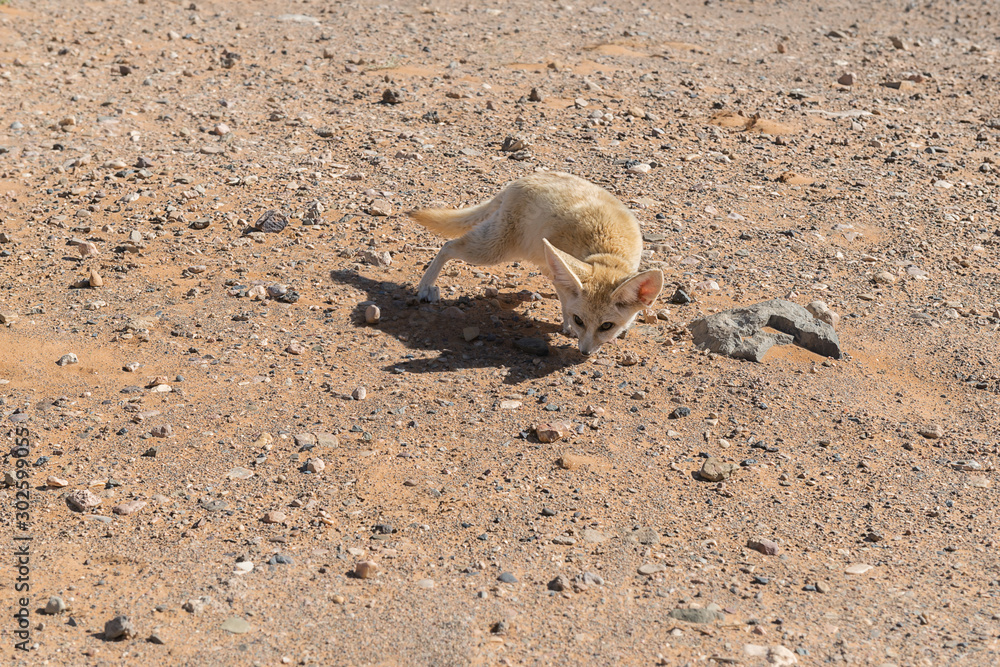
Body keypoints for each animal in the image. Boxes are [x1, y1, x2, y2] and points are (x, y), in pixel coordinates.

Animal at [407, 172, 663, 356]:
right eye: (580, 320)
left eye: (607, 326)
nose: (584, 353)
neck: (608, 253)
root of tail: (518, 181)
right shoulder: (562, 275)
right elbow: (566, 302)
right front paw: (568, 327)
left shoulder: (560, 269)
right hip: (494, 250)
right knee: (449, 246)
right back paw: (426, 286)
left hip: (533, 252)